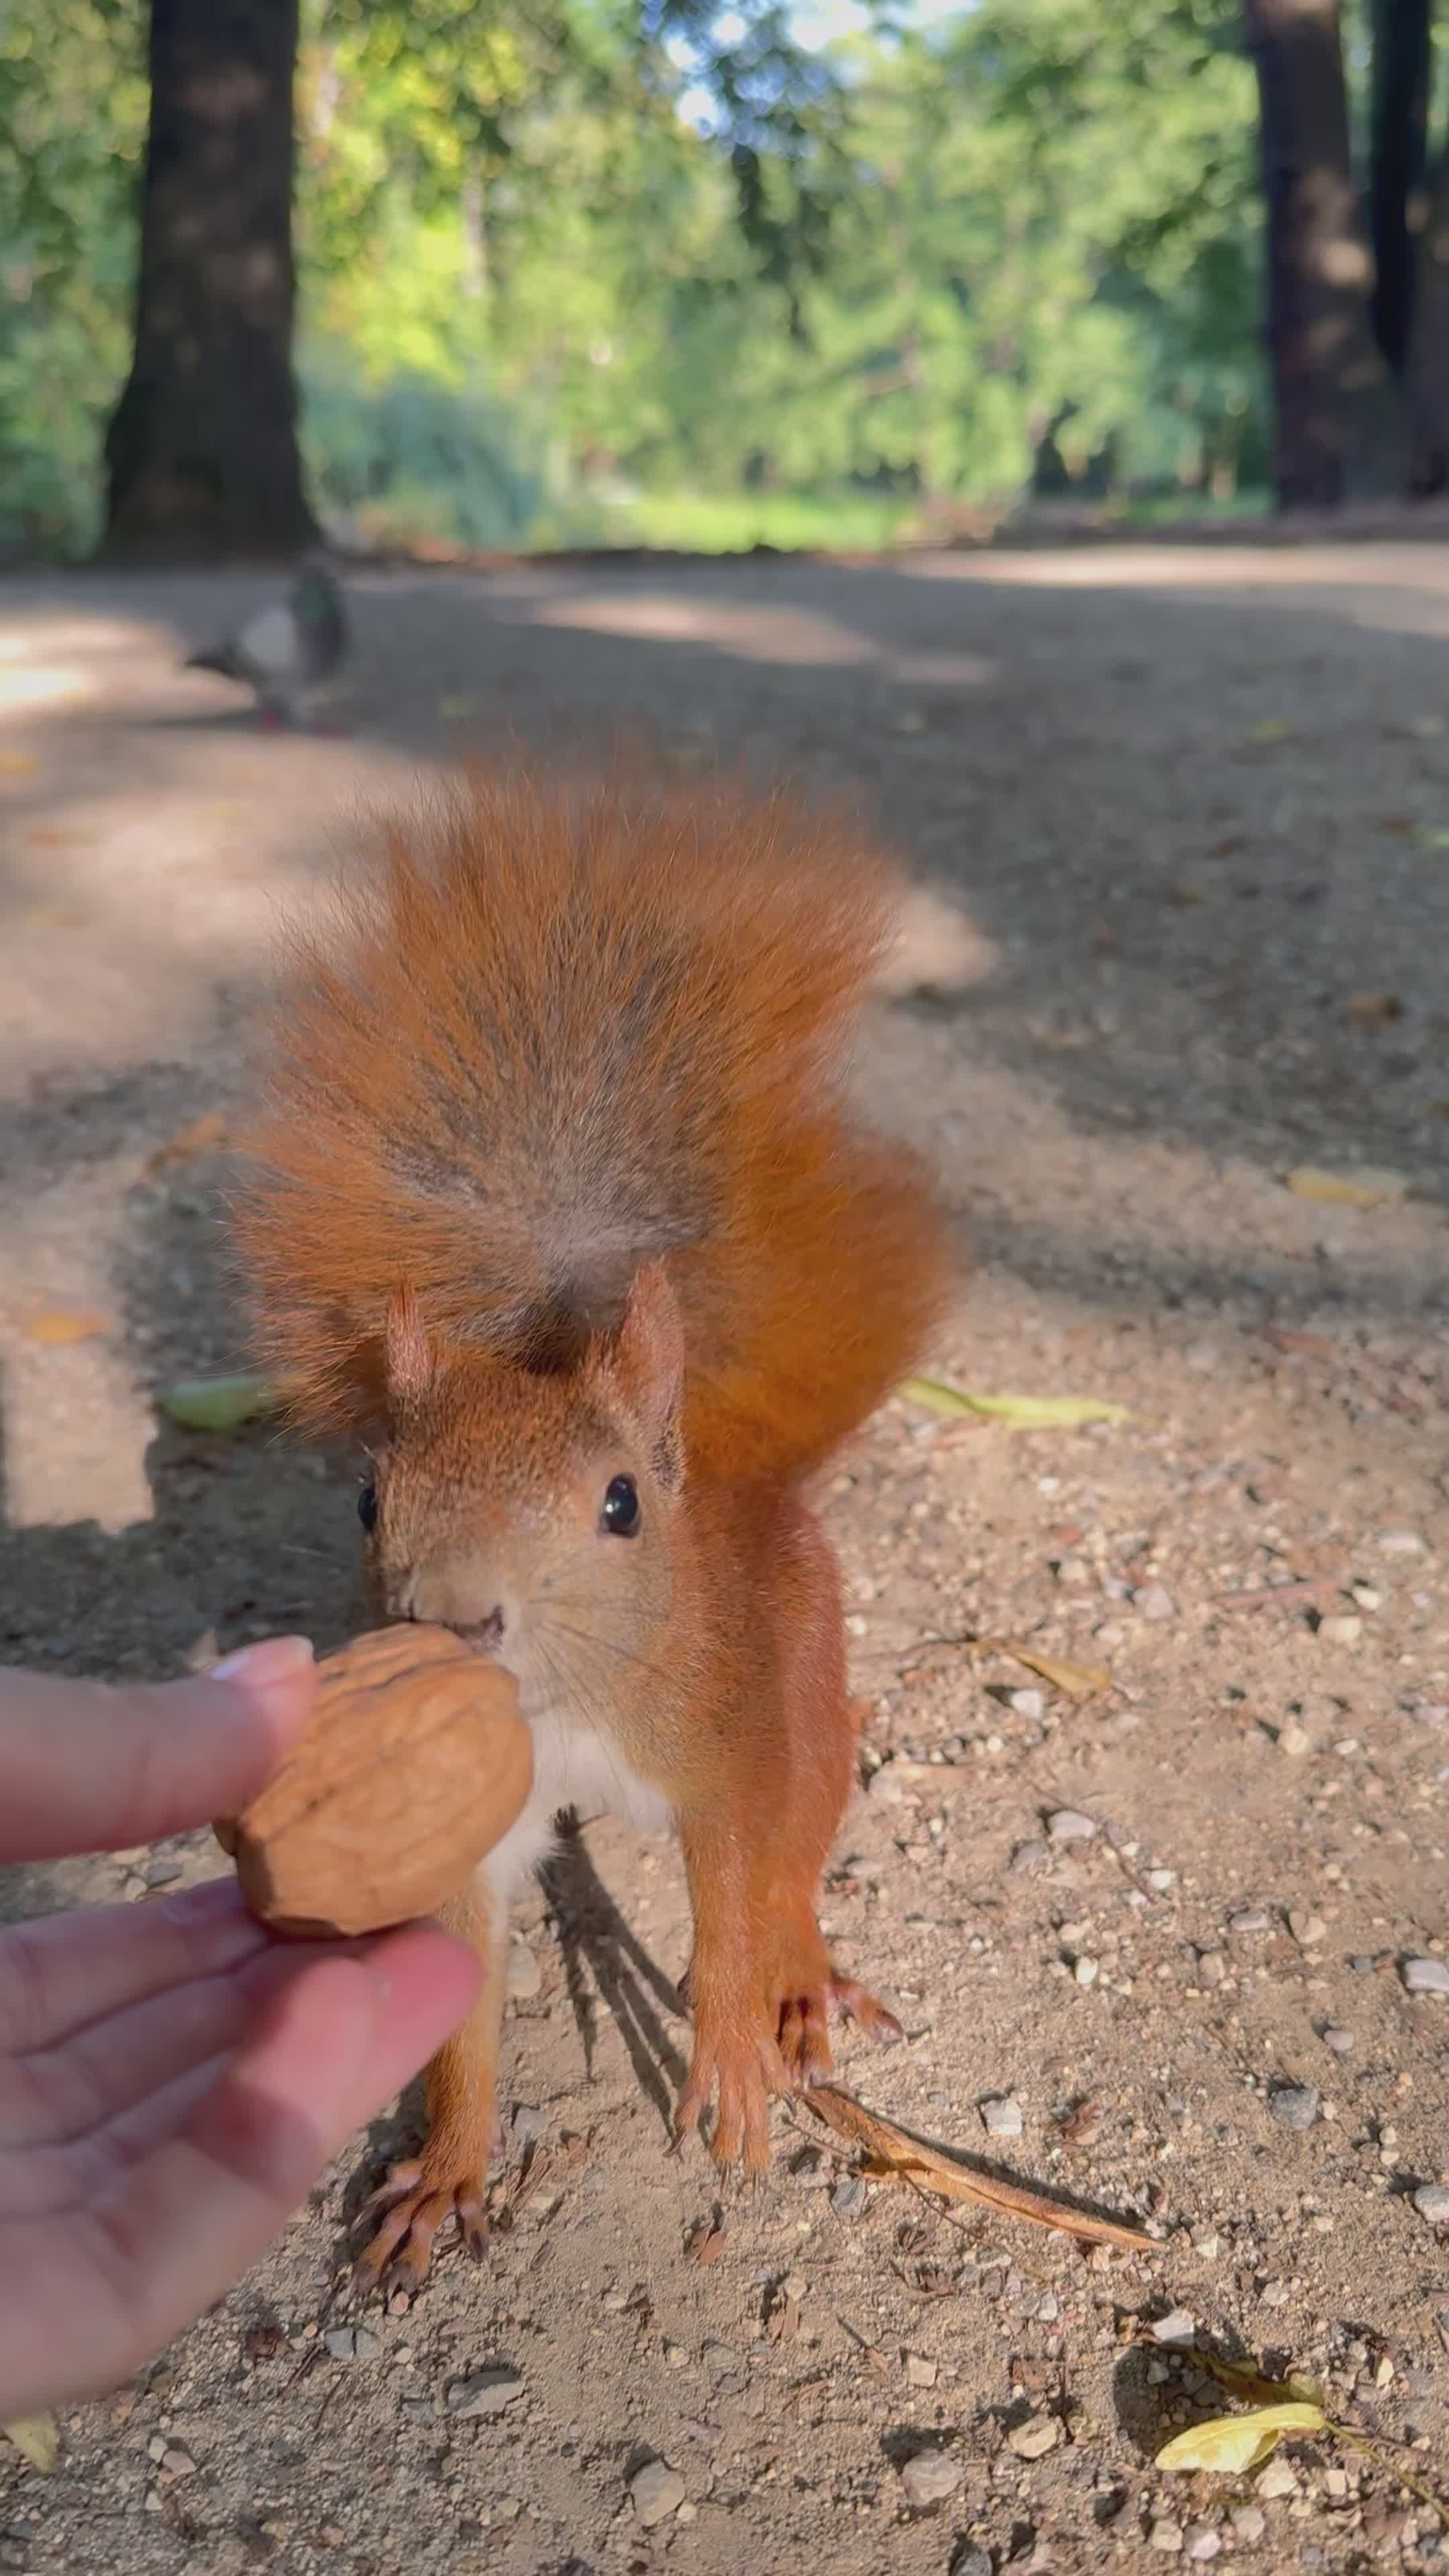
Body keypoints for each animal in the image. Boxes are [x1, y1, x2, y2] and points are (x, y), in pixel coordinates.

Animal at [236, 764, 950, 2288]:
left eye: (618, 1505)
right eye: (368, 1498)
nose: (457, 1619)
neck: (563, 1714)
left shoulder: (722, 1745)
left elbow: (733, 1885)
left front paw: (730, 2054)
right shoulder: (471, 1828)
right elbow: (459, 2003)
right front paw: (449, 2169)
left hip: (806, 1686)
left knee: (798, 1853)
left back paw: (802, 1987)